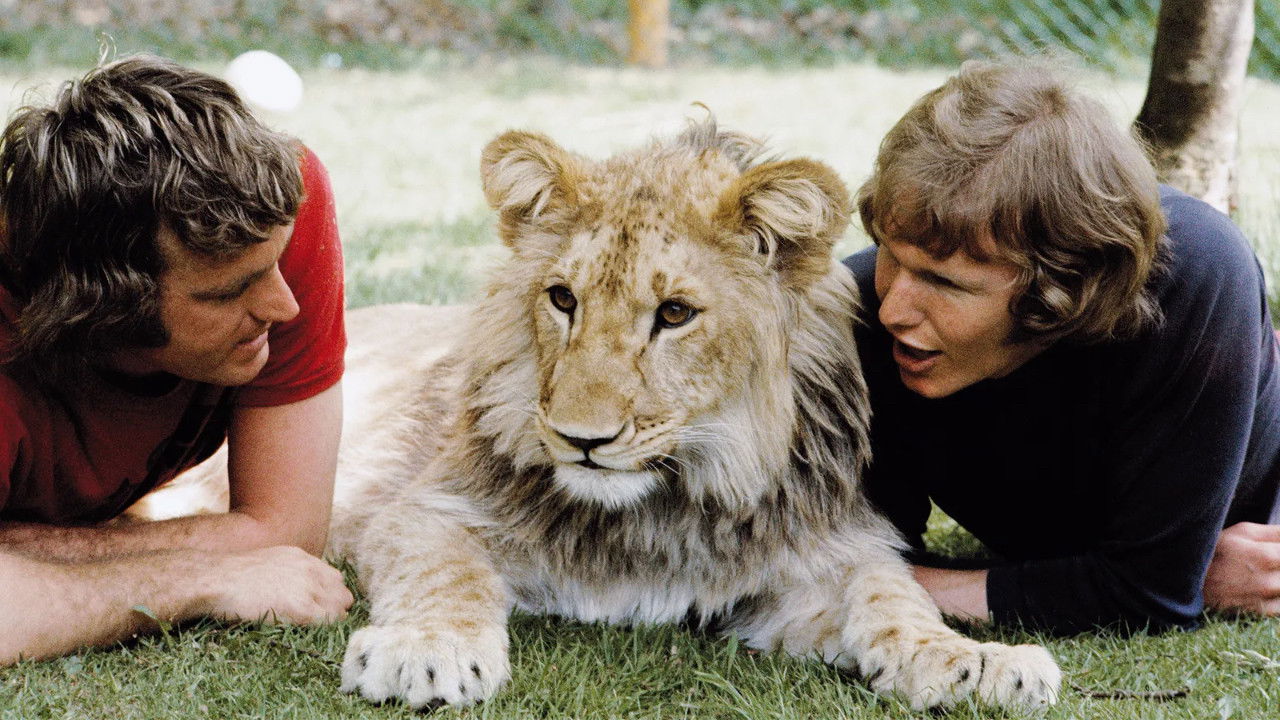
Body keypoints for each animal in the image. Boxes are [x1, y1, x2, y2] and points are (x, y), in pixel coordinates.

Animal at [318, 117, 1062, 712]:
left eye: (674, 314)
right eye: (563, 299)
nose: (580, 440)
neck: (663, 512)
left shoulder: (807, 560)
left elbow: (893, 593)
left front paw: (975, 660)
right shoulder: (423, 507)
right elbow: (447, 574)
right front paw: (424, 650)